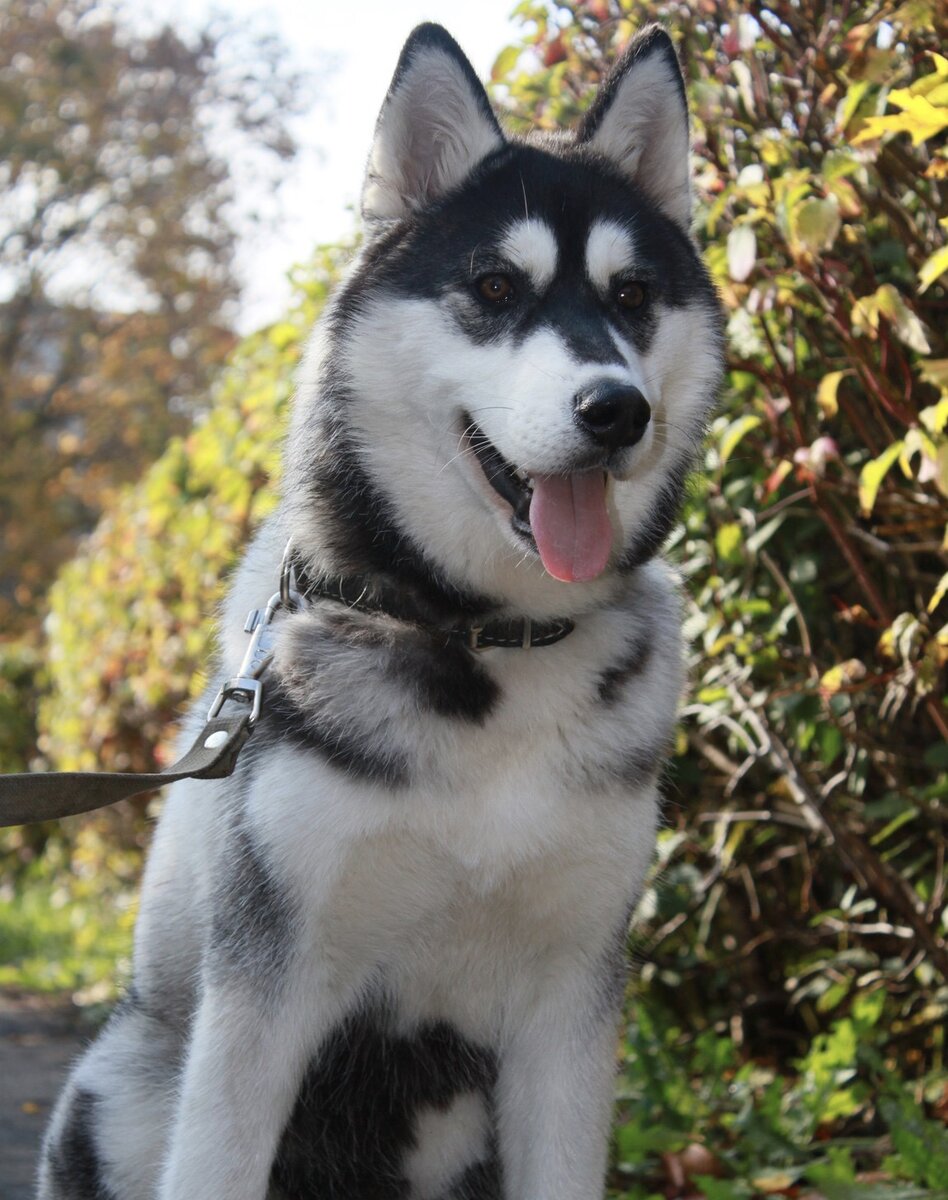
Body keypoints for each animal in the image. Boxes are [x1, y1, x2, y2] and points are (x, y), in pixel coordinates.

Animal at [35, 21, 720, 1200]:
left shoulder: (570, 1009)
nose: (615, 409)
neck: (486, 639)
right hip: (123, 1082)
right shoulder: (261, 997)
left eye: (633, 297)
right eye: (494, 285)